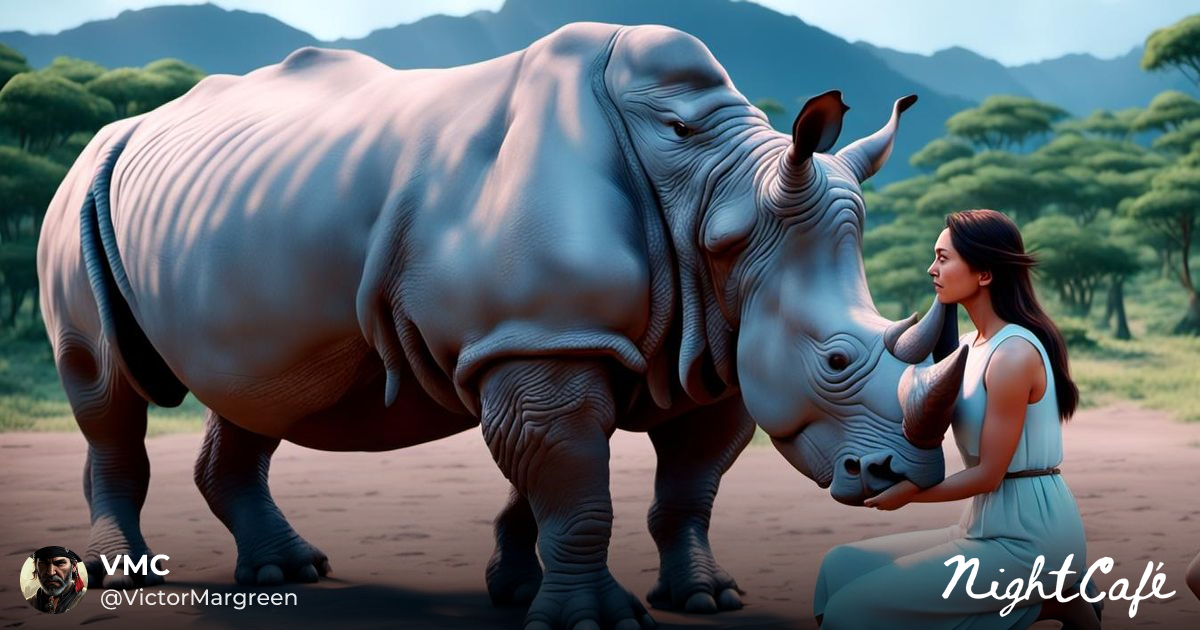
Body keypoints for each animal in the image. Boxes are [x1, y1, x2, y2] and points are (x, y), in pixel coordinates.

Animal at [38, 22, 966, 629]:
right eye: (836, 359)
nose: (902, 475)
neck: (717, 194)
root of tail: (123, 127)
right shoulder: (538, 333)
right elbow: (575, 483)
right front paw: (591, 622)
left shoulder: (688, 343)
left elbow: (674, 487)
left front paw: (698, 597)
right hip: (80, 190)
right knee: (105, 391)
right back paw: (123, 577)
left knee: (260, 395)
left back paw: (288, 570)